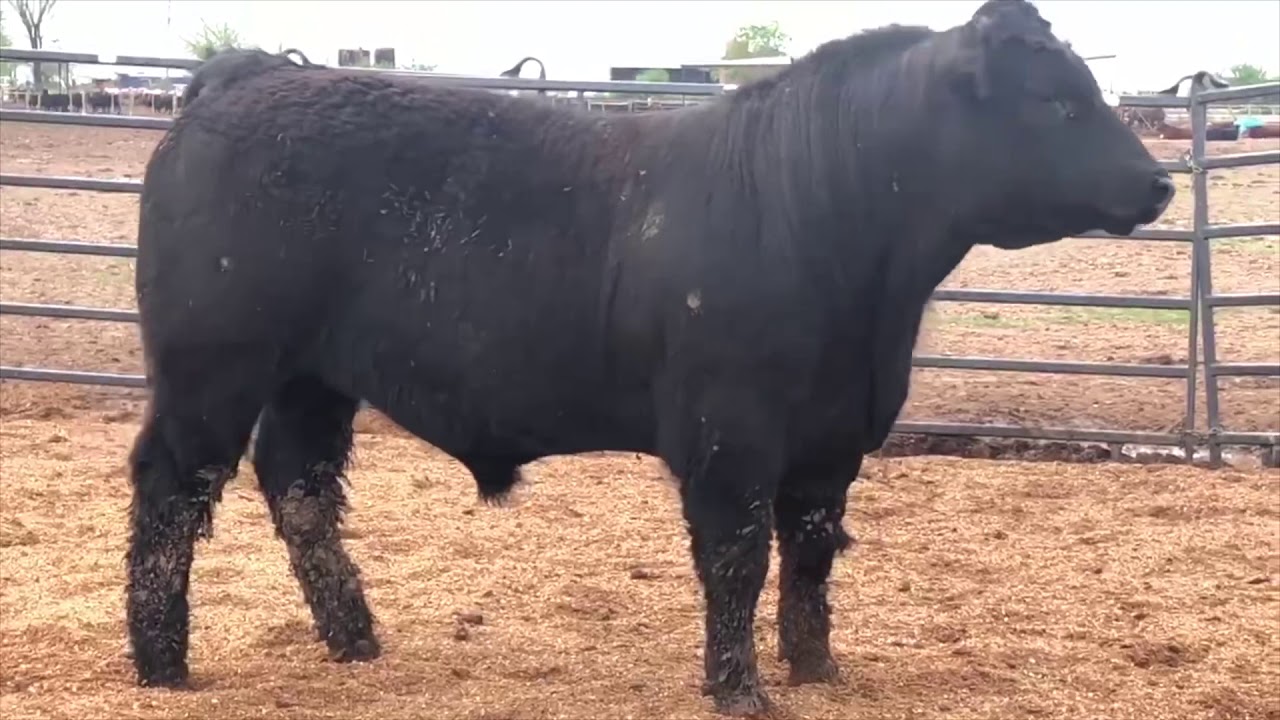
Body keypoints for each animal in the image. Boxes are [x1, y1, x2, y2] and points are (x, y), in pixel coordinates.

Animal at [124, 0, 1173, 715]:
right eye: (1054, 102)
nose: (1159, 182)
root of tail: (249, 76)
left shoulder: (834, 438)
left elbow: (812, 555)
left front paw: (818, 669)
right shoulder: (729, 434)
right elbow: (740, 557)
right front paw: (739, 688)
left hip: (313, 378)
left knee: (299, 485)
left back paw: (355, 640)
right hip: (212, 365)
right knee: (172, 488)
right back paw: (163, 662)